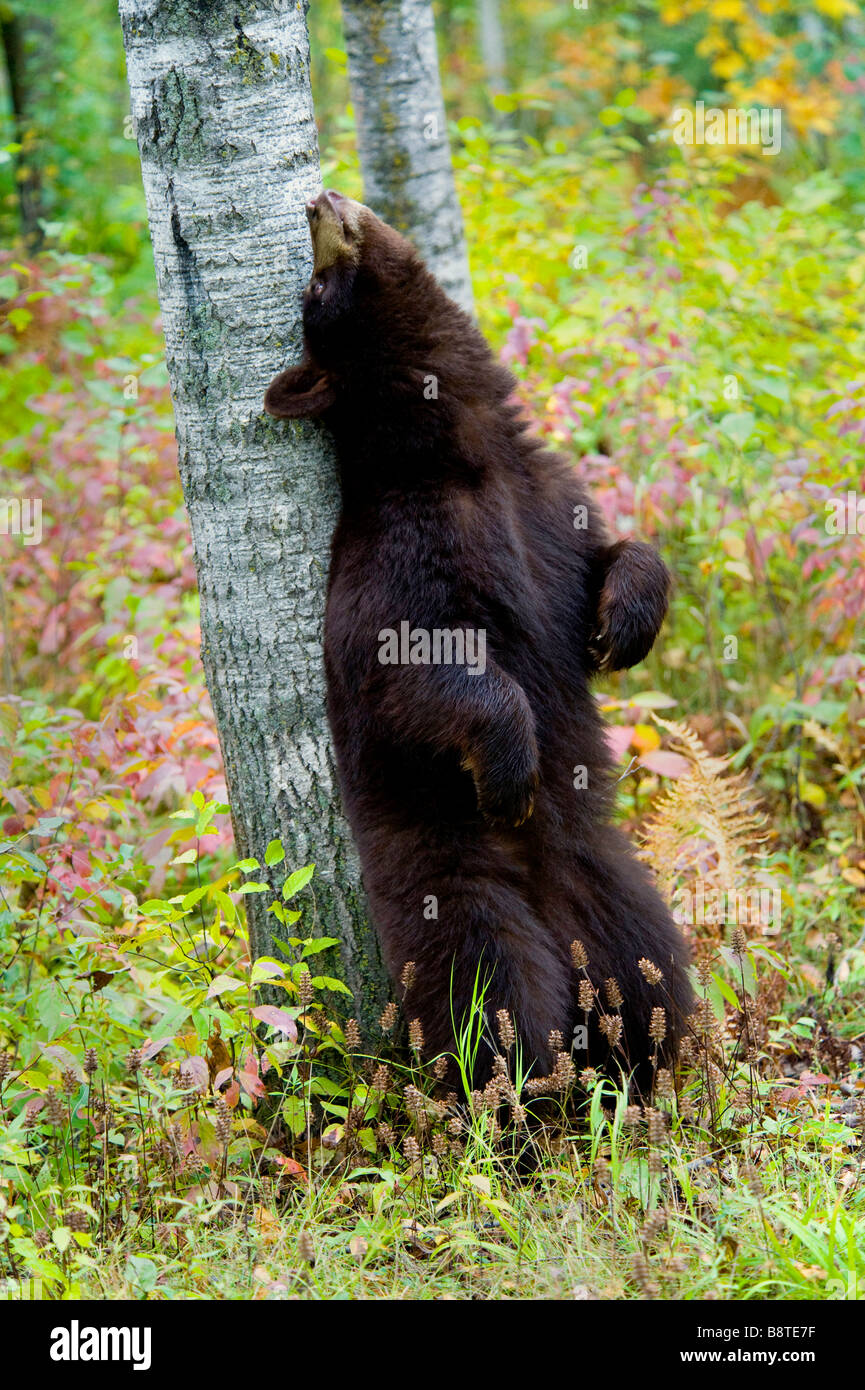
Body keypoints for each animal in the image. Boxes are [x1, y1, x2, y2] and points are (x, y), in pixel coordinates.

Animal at [265, 189, 694, 1095]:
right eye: (315, 292)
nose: (321, 199)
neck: (460, 445)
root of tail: (551, 907)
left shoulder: (547, 505)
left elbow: (613, 553)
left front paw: (621, 626)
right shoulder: (402, 547)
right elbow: (413, 666)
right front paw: (508, 771)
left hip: (615, 893)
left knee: (652, 978)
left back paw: (652, 1070)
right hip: (455, 887)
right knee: (488, 1003)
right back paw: (517, 1096)